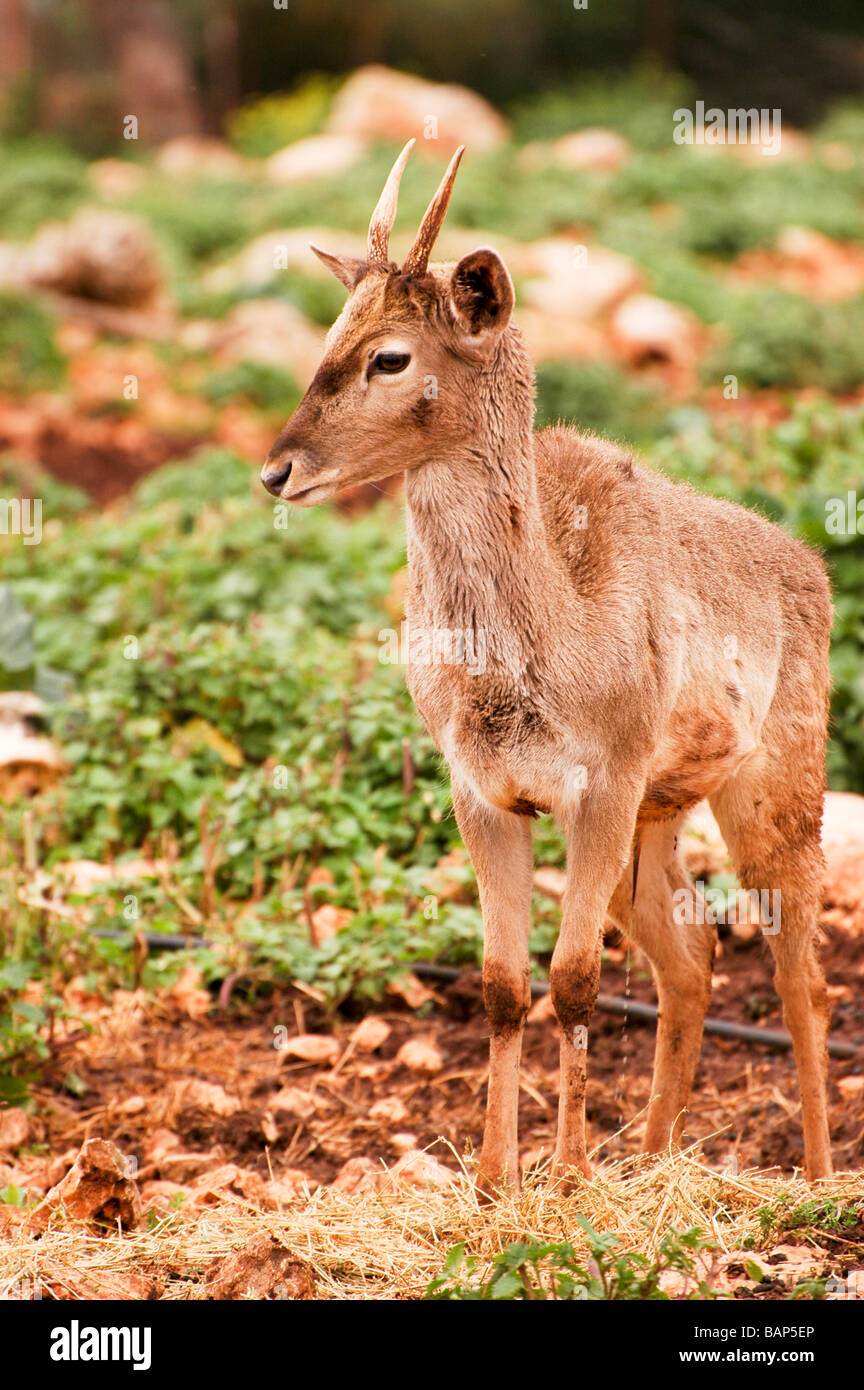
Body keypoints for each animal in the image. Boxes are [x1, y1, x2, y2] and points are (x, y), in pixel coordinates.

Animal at [261, 141, 835, 1191]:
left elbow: (573, 982)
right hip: (664, 803)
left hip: (780, 770)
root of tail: (811, 565)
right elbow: (500, 983)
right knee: (692, 954)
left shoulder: (606, 772)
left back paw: (812, 1177)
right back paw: (651, 1161)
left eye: (391, 354)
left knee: (798, 972)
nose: (278, 469)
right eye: (331, 330)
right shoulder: (482, 784)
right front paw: (496, 1179)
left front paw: (564, 1179)